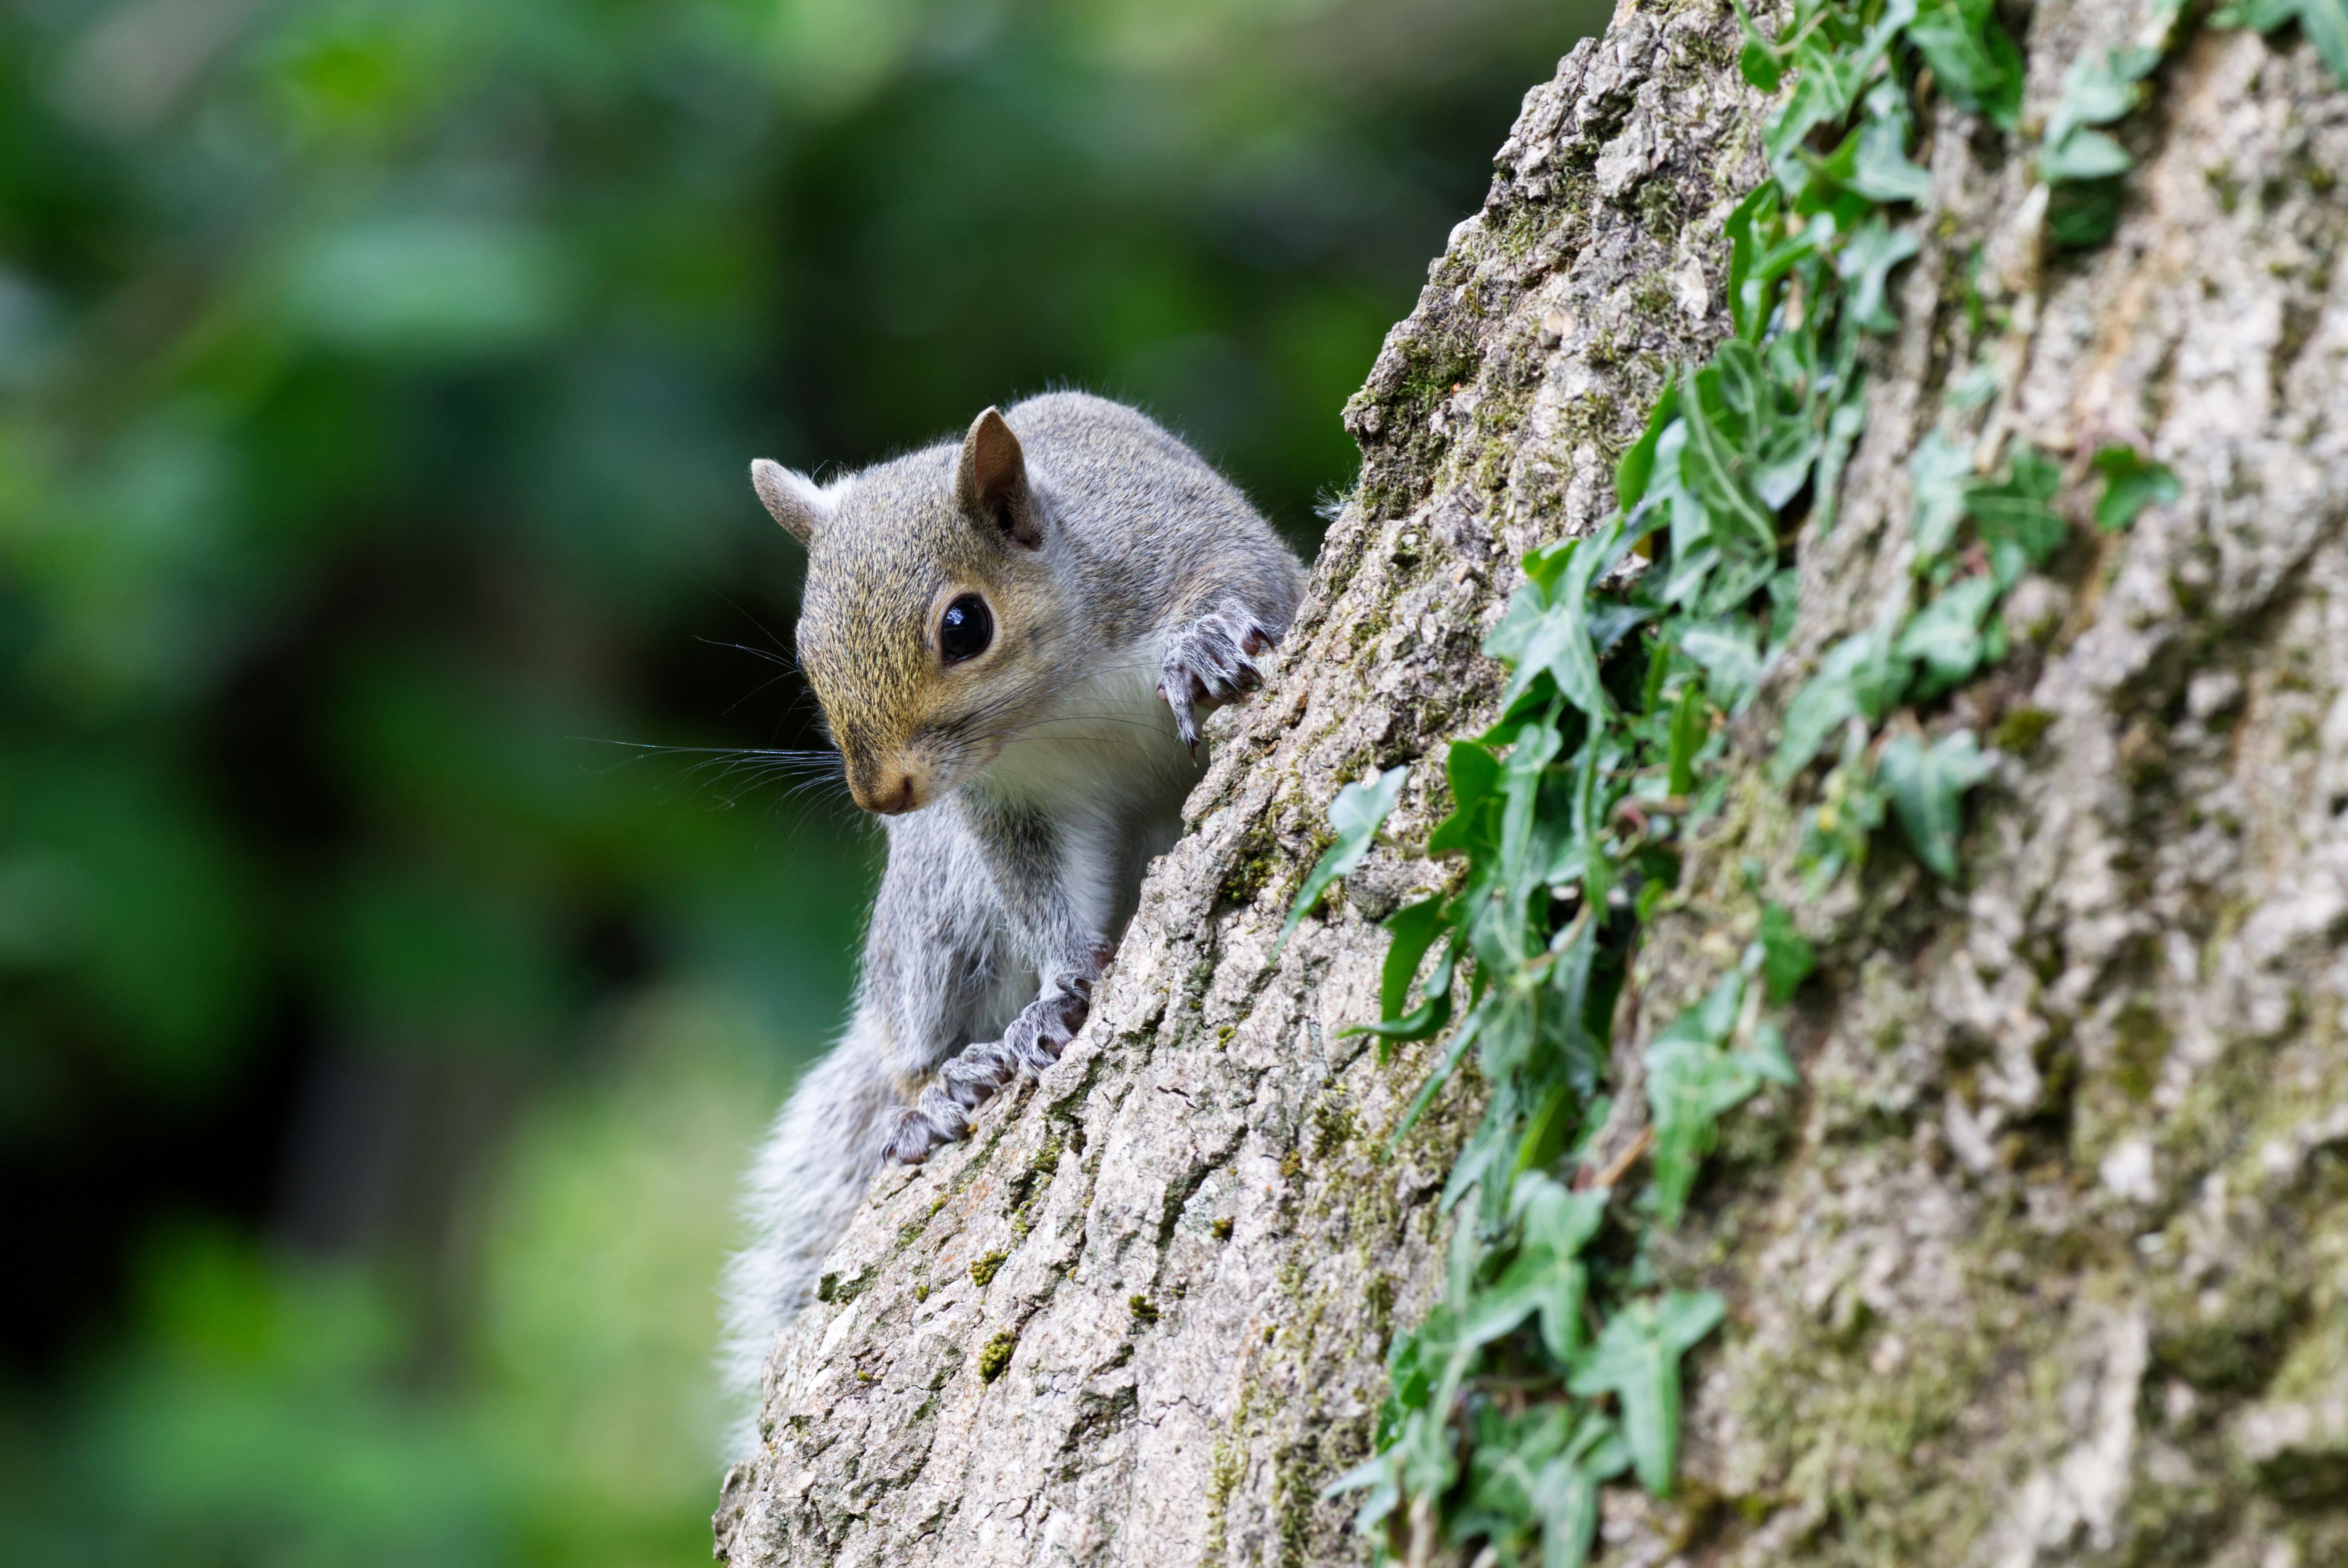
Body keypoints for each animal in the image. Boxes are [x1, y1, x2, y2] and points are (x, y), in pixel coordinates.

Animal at [718, 392, 1305, 1436]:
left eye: (964, 624)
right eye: (805, 646)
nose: (881, 795)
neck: (1052, 706)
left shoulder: (1186, 550)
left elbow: (1242, 583)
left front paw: (1200, 649)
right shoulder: (1006, 809)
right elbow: (1040, 897)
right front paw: (1059, 990)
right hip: (934, 897)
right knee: (910, 1033)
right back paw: (942, 1088)